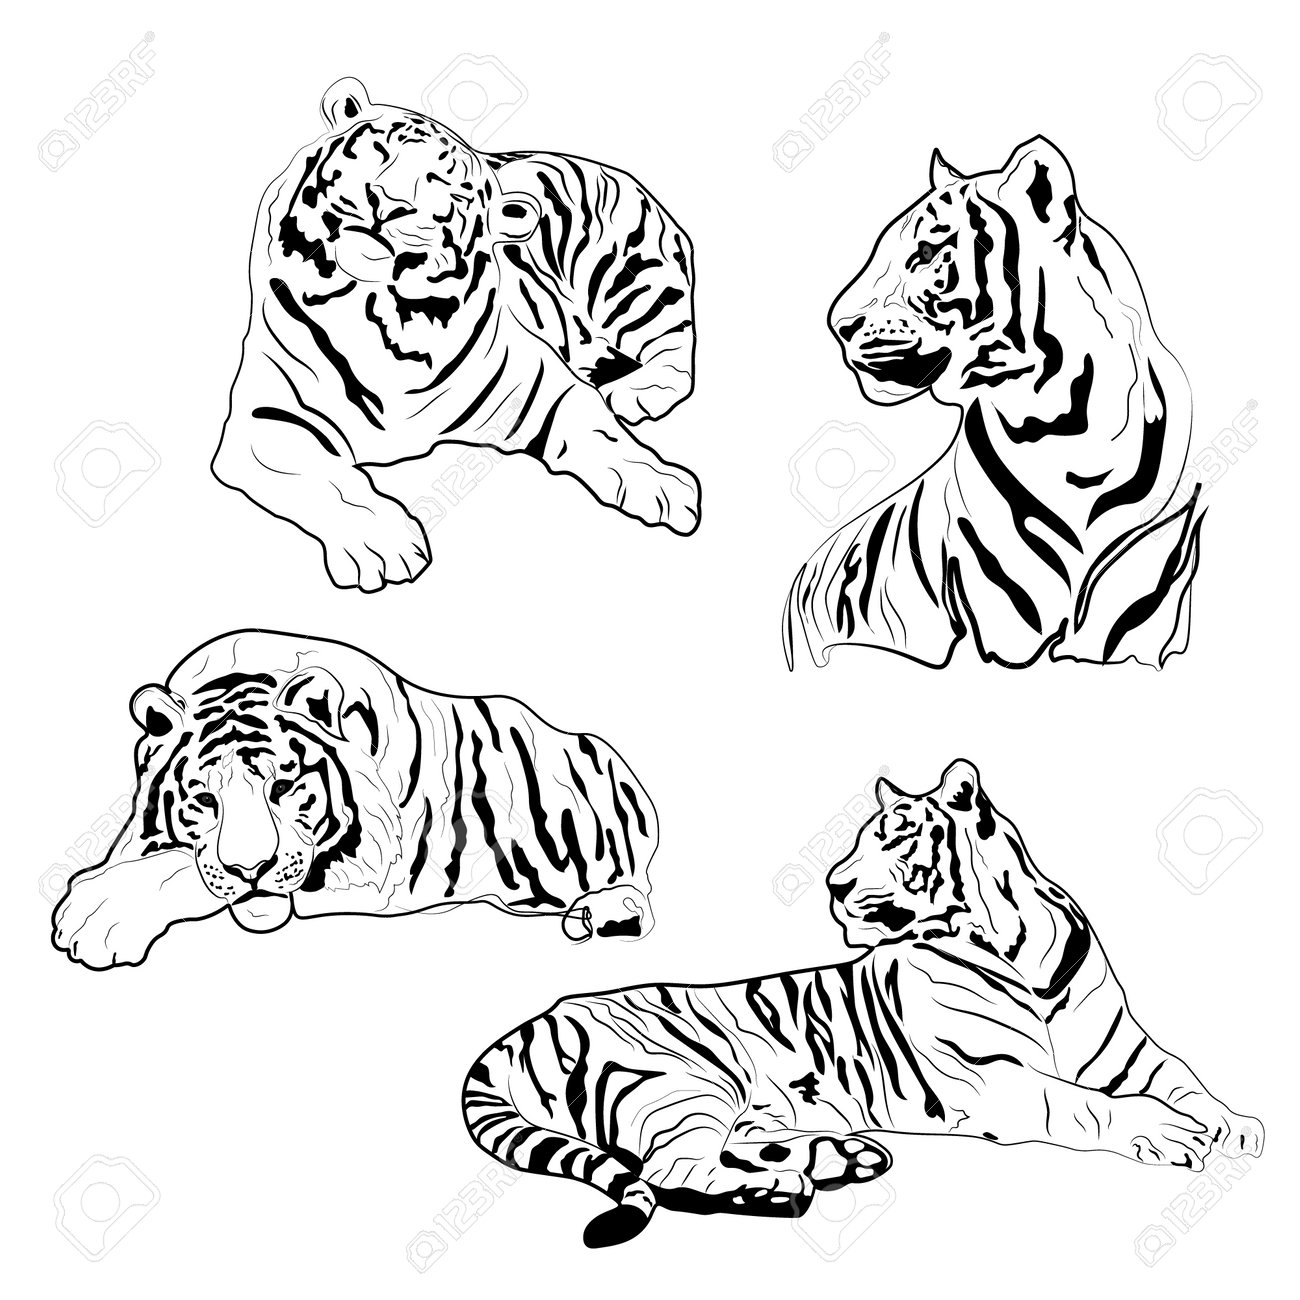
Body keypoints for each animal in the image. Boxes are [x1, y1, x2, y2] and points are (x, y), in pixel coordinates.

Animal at [51, 630, 657, 970]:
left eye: (284, 785)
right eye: (203, 799)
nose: (251, 871)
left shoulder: (367, 867)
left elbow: (178, 867)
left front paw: (96, 918)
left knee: (634, 888)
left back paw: (603, 912)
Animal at [214, 78, 700, 593]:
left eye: (440, 184)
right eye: (380, 151)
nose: (388, 202)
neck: (377, 310)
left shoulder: (542, 385)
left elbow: (604, 434)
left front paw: (666, 485)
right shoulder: (267, 420)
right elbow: (334, 483)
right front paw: (385, 545)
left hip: (633, 275)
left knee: (675, 345)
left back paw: (639, 392)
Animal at [463, 758, 1262, 1249]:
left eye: (897, 837)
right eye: (858, 840)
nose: (834, 884)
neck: (1016, 944)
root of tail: (533, 1022)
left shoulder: (1126, 1048)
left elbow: (1182, 1076)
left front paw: (1233, 1124)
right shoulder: (993, 1078)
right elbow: (1080, 1103)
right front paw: (1168, 1132)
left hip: (743, 1103)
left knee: (730, 1149)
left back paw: (842, 1157)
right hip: (681, 1081)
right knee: (673, 1173)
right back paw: (782, 1191)